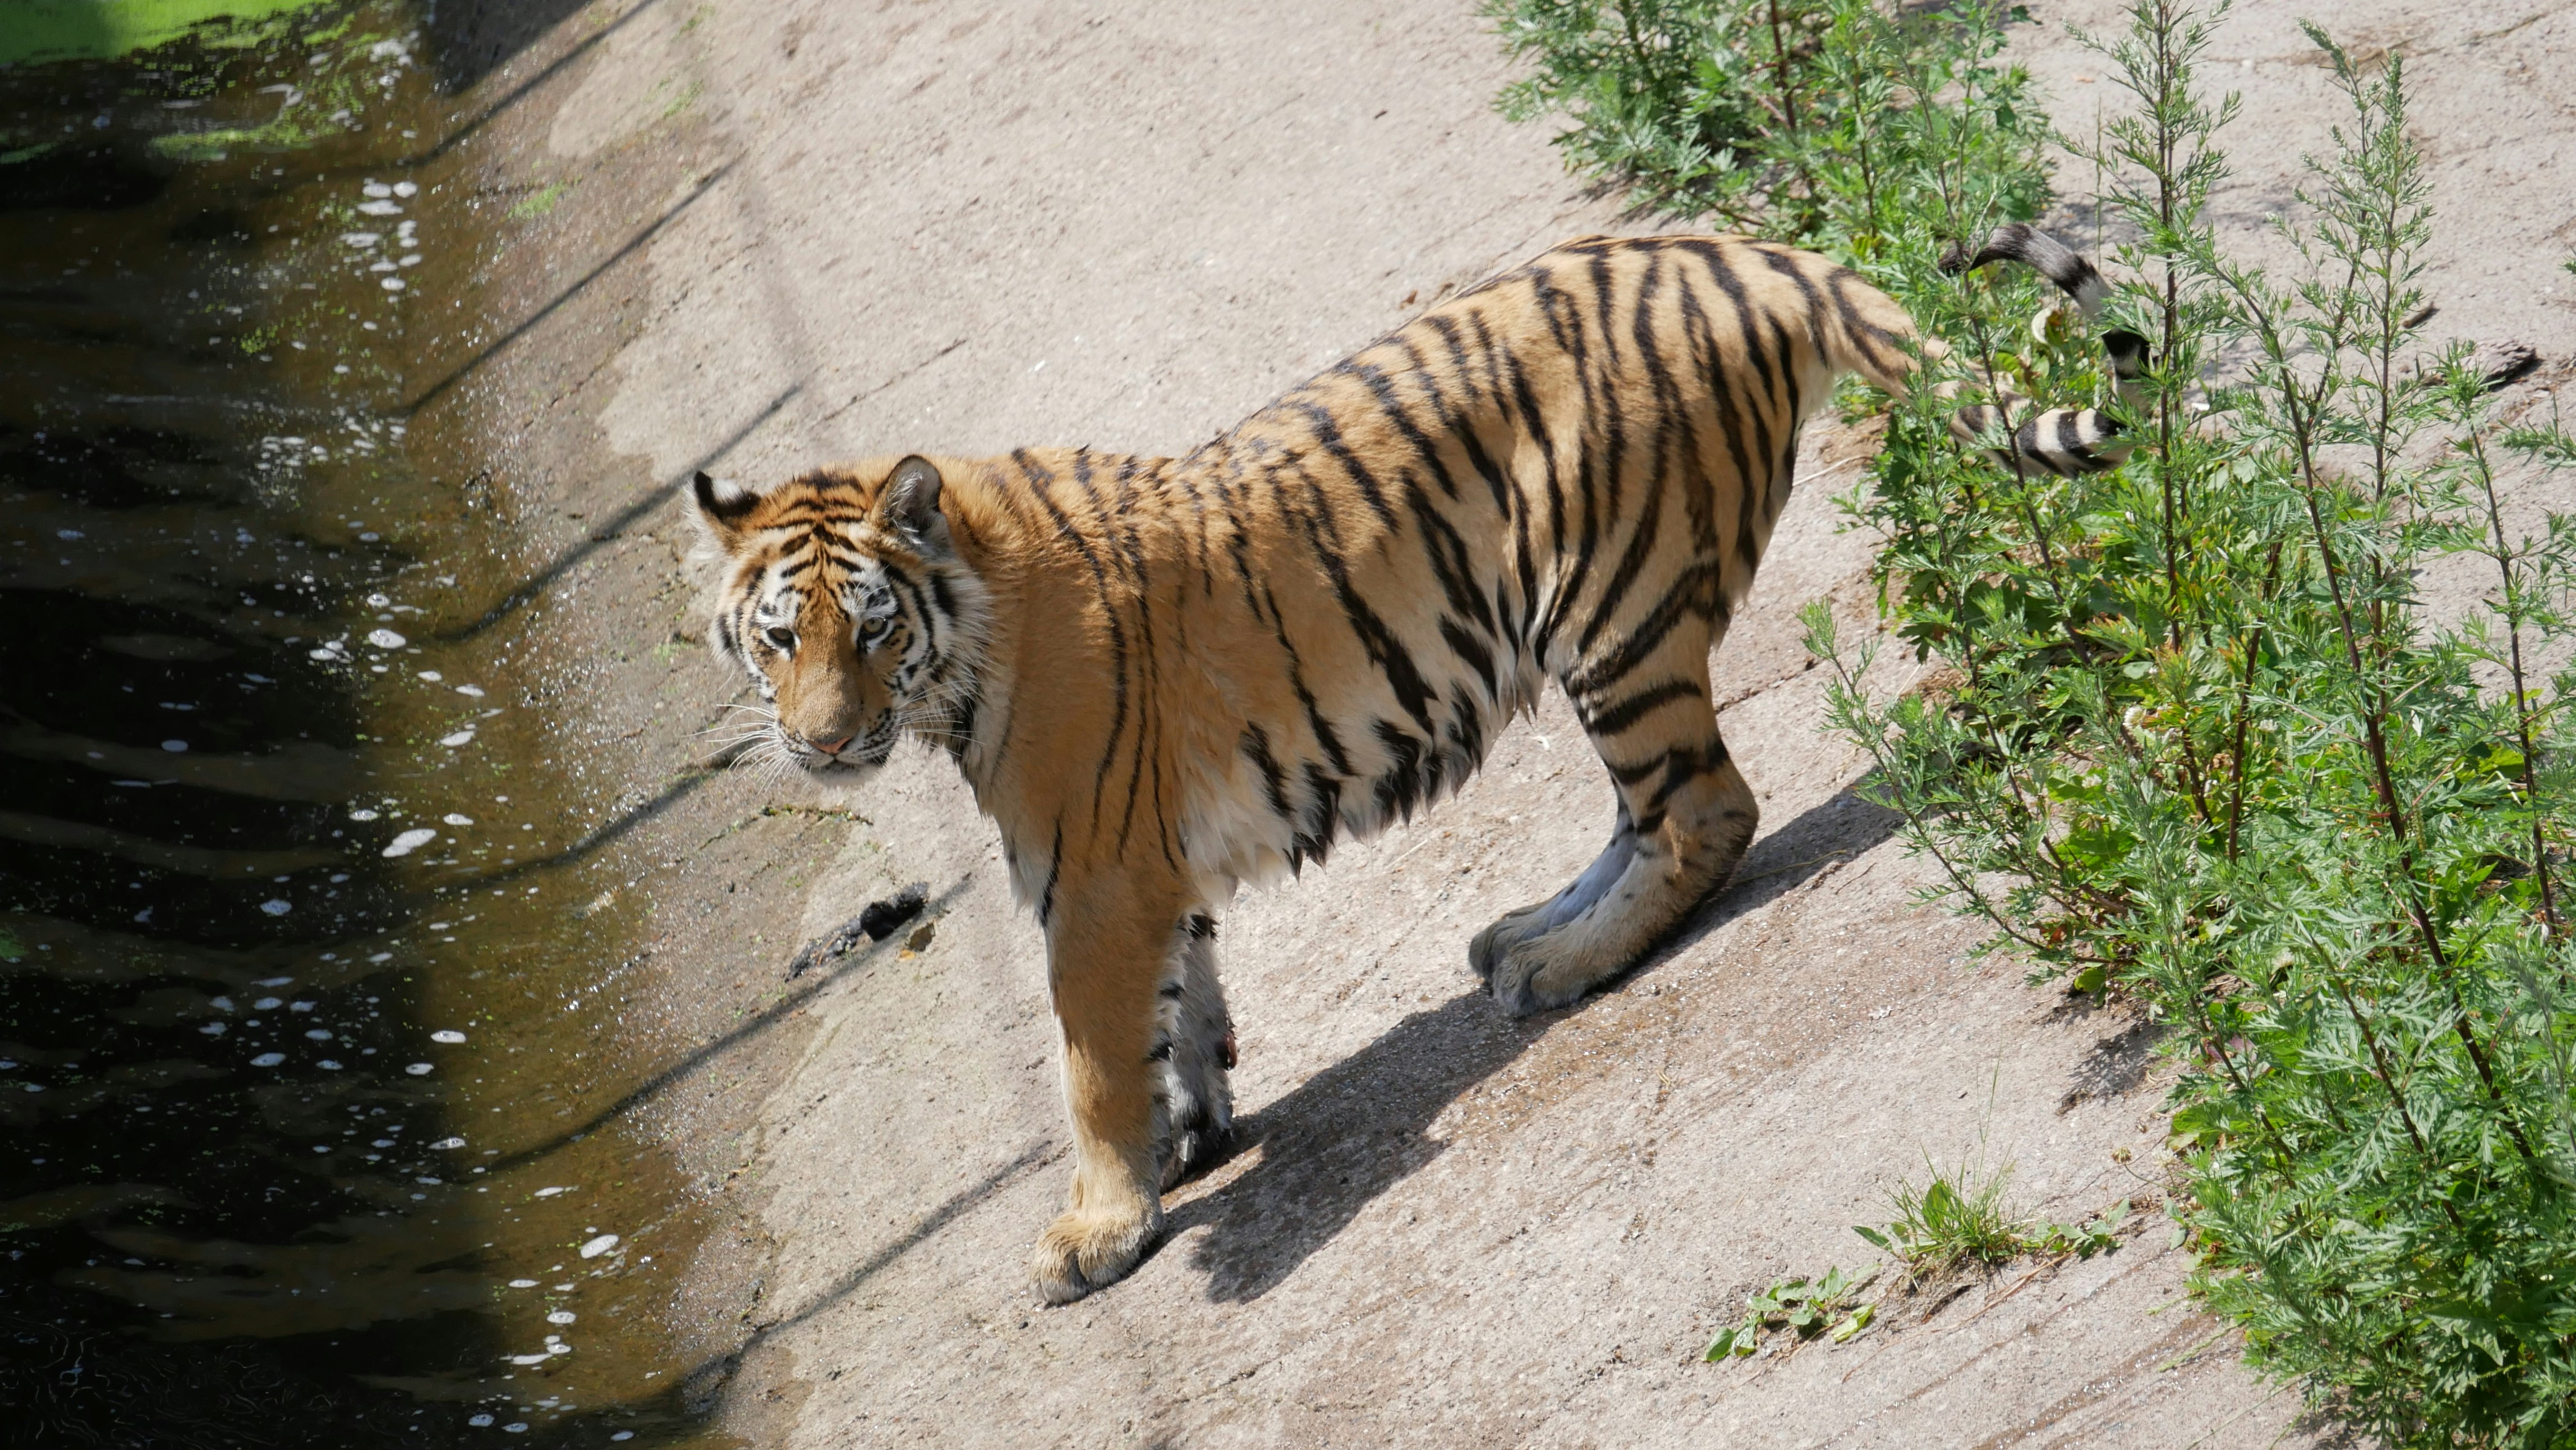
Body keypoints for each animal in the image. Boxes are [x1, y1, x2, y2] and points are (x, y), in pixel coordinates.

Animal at [690, 226, 2134, 1305]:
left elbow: (1093, 1063)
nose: (824, 743)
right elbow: (1184, 1001)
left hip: (1612, 604)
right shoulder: (1146, 869)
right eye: (780, 636)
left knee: (1705, 811)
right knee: (1648, 814)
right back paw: (1525, 934)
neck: (966, 629)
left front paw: (1097, 1227)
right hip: (1608, 628)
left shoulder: (1090, 873)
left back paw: (1561, 965)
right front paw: (1194, 1131)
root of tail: (1739, 253)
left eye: (872, 627)